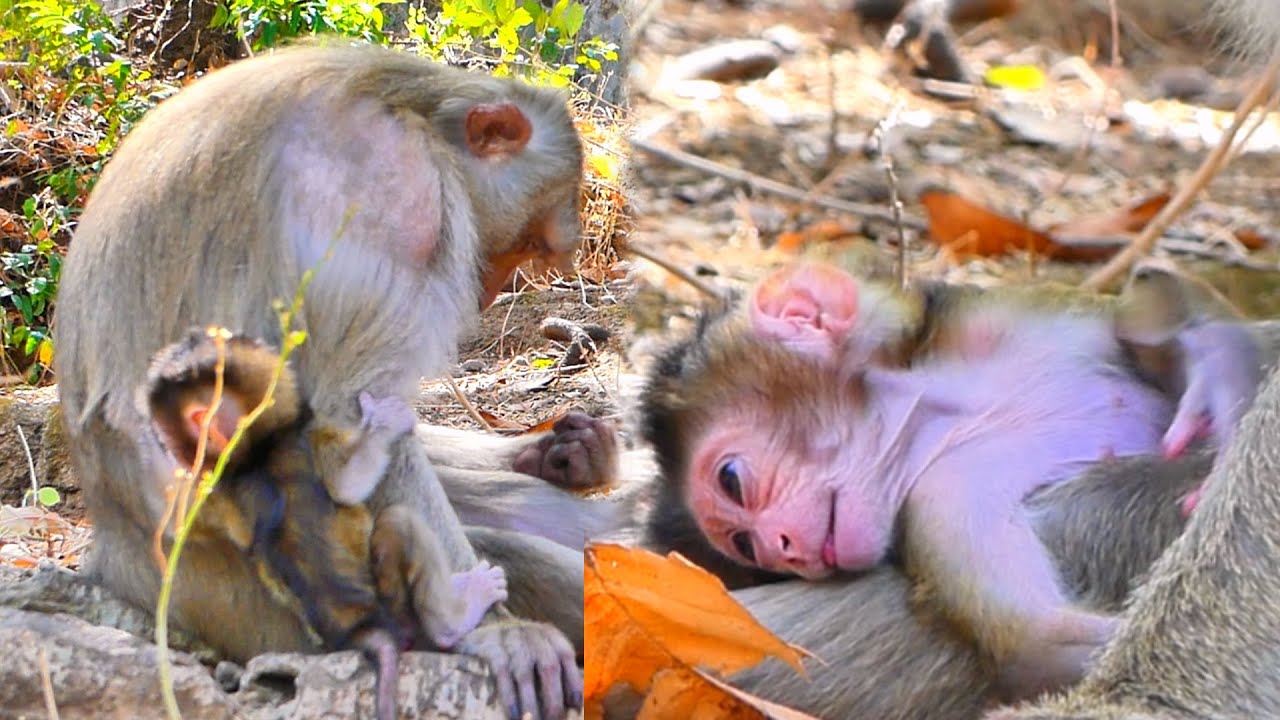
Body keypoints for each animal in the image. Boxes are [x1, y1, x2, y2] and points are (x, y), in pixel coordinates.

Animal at [139, 327, 510, 720]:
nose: (261, 339)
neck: (252, 456)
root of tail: (360, 626)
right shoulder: (309, 440)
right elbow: (349, 483)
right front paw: (385, 421)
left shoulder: (213, 490)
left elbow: (177, 523)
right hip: (395, 603)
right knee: (400, 524)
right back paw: (457, 616)